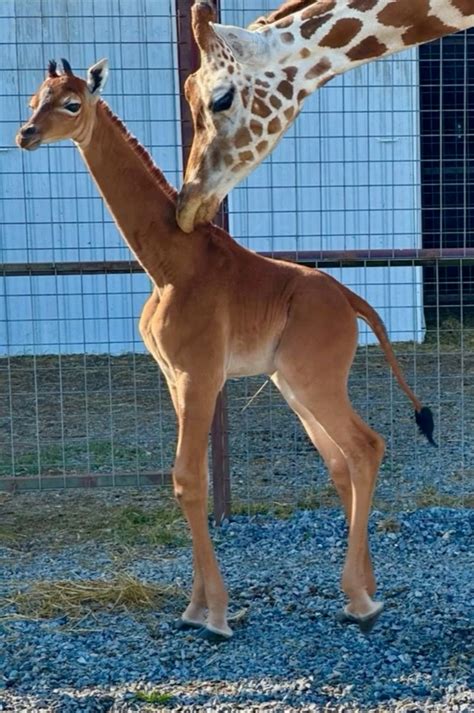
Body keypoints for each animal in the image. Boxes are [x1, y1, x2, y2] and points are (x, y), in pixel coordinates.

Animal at [17, 59, 435, 640]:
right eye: (34, 98)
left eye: (72, 103)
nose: (25, 134)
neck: (168, 263)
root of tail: (352, 300)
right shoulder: (175, 377)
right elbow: (190, 481)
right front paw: (195, 607)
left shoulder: (200, 375)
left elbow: (188, 479)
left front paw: (214, 613)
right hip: (293, 384)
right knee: (340, 459)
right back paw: (366, 590)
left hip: (315, 379)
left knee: (365, 446)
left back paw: (360, 600)